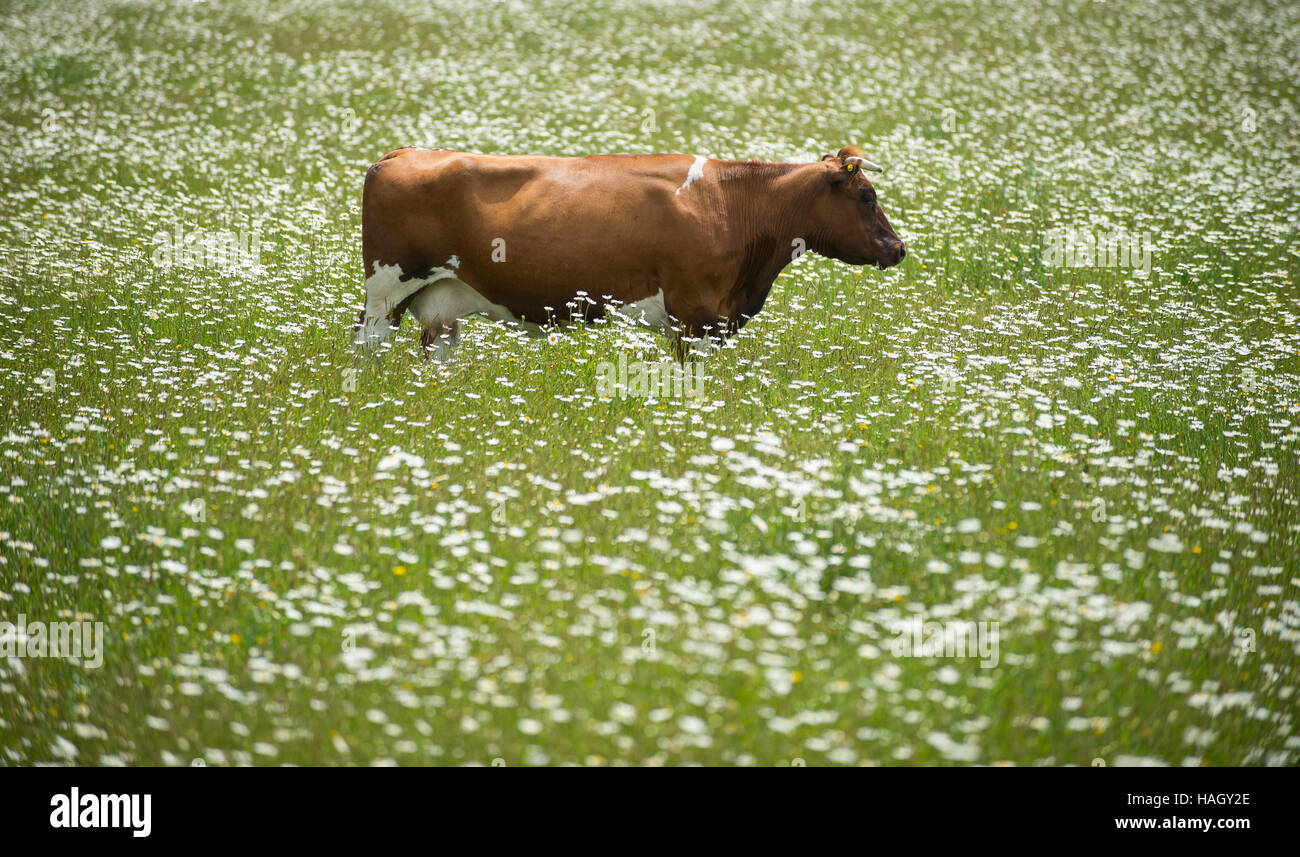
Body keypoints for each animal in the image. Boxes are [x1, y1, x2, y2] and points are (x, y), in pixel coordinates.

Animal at [354, 145, 905, 356]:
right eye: (867, 195)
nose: (898, 248)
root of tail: (403, 153)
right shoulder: (694, 315)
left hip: (441, 304)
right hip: (386, 290)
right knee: (367, 346)